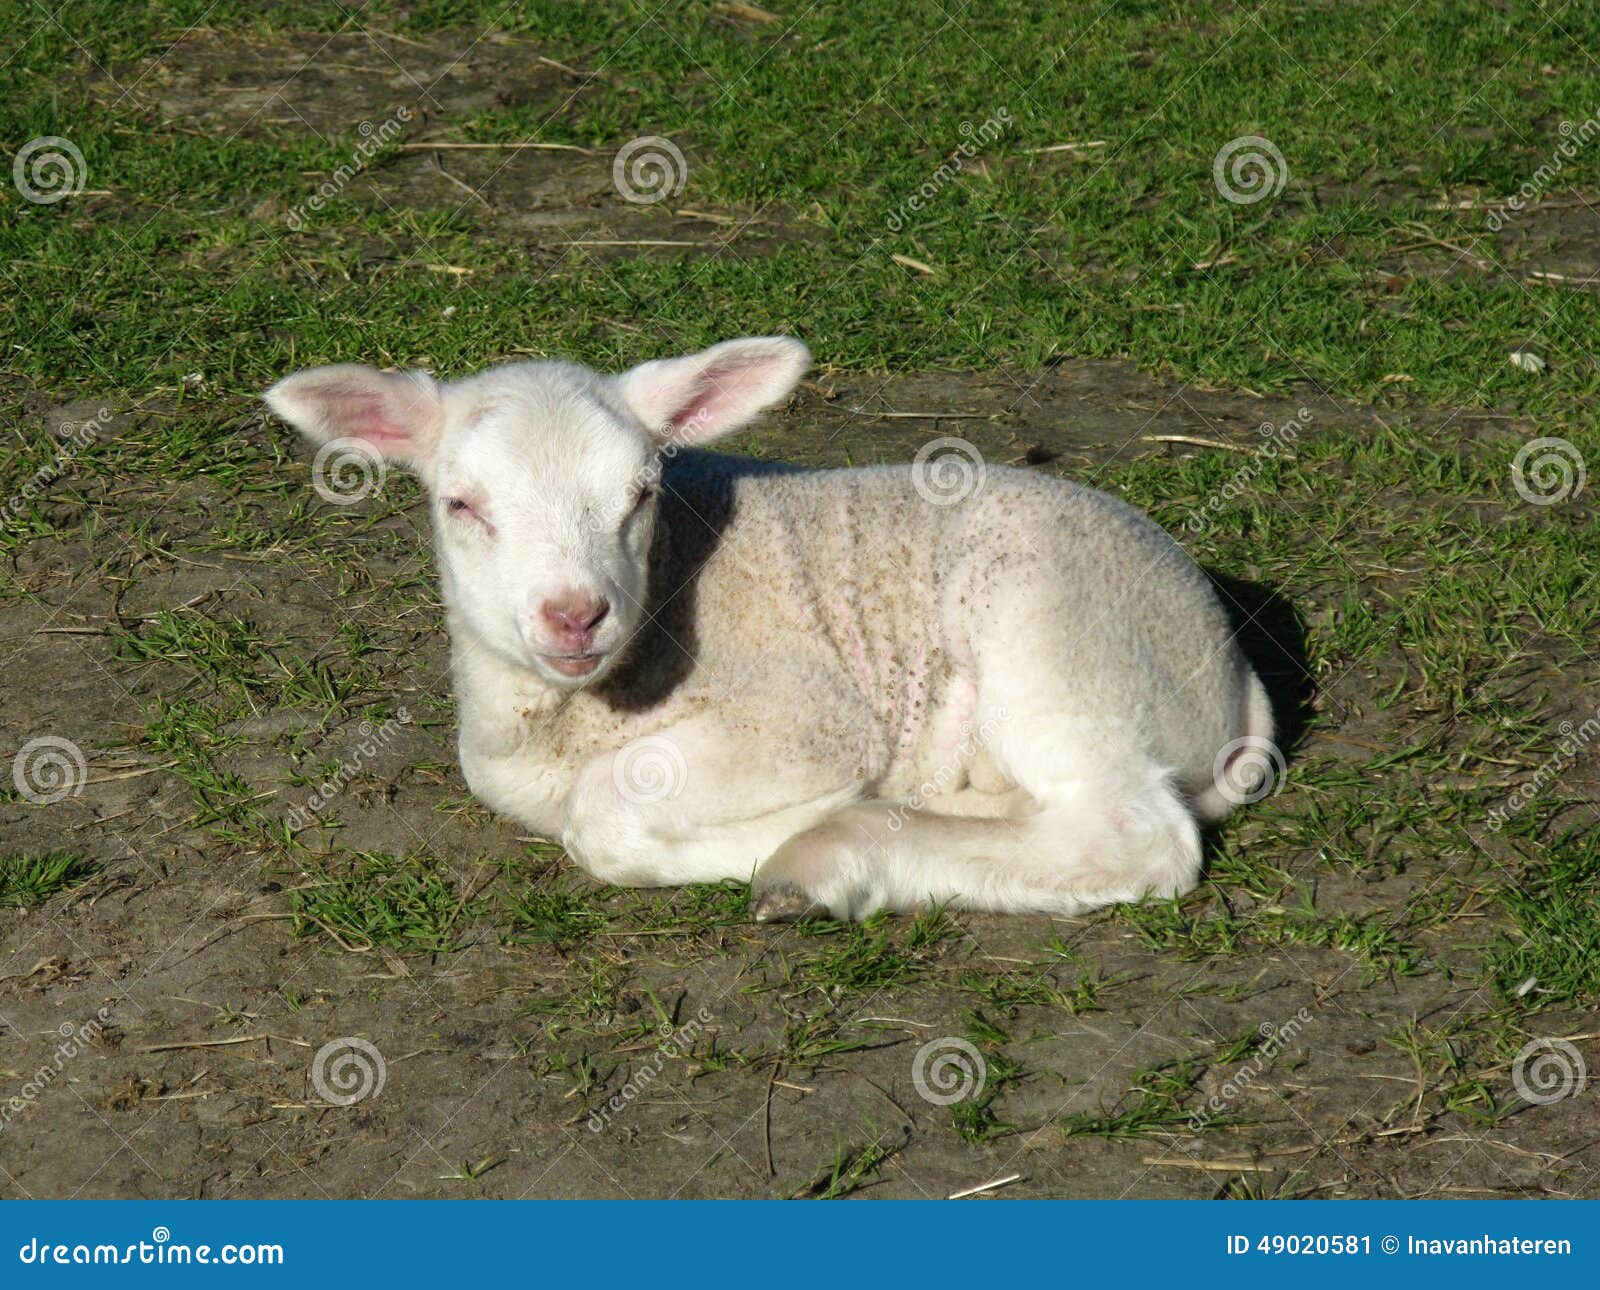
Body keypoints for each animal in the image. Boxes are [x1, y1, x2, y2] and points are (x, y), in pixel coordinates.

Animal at [265, 336, 1275, 922]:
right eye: (461, 504)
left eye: (640, 493)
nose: (575, 613)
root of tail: (1229, 671)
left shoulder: (805, 714)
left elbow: (602, 816)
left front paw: (791, 828)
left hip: (1051, 633)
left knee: (1135, 837)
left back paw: (827, 858)